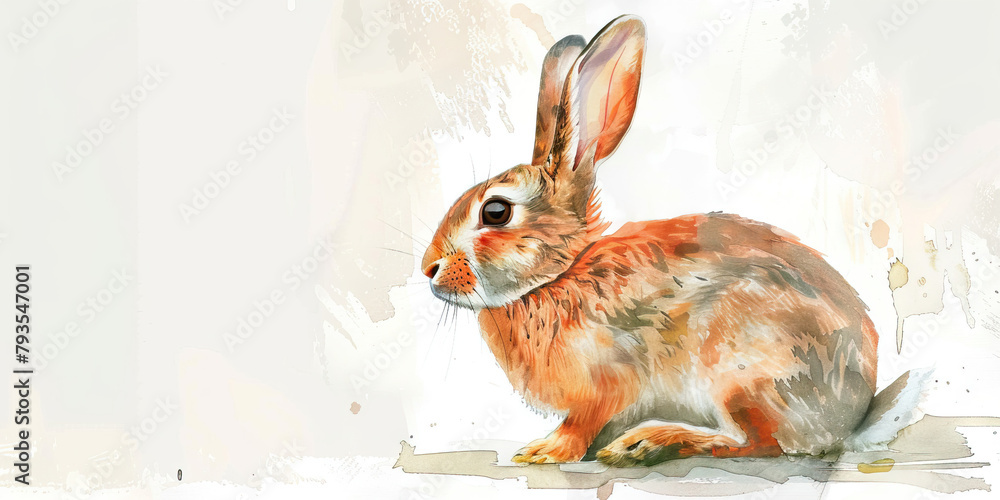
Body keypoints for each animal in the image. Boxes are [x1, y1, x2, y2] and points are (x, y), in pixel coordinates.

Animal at [420, 15, 900, 466]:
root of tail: (850, 415)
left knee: (756, 442)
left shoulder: (609, 378)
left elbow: (584, 422)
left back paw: (648, 443)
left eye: (495, 212)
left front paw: (547, 451)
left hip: (739, 372)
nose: (428, 268)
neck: (559, 277)